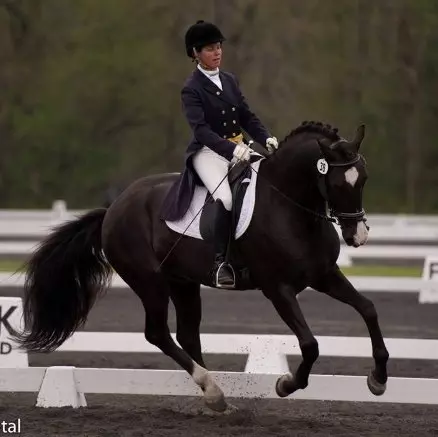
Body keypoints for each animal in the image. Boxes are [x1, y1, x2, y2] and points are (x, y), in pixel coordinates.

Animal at [14, 120, 390, 412]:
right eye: (338, 183)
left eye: (364, 178)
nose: (358, 235)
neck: (289, 207)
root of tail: (114, 207)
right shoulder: (278, 289)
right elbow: (310, 344)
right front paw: (285, 385)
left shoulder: (324, 275)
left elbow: (369, 309)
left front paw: (379, 380)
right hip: (149, 282)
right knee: (158, 333)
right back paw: (211, 389)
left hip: (182, 282)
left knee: (187, 334)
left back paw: (217, 397)